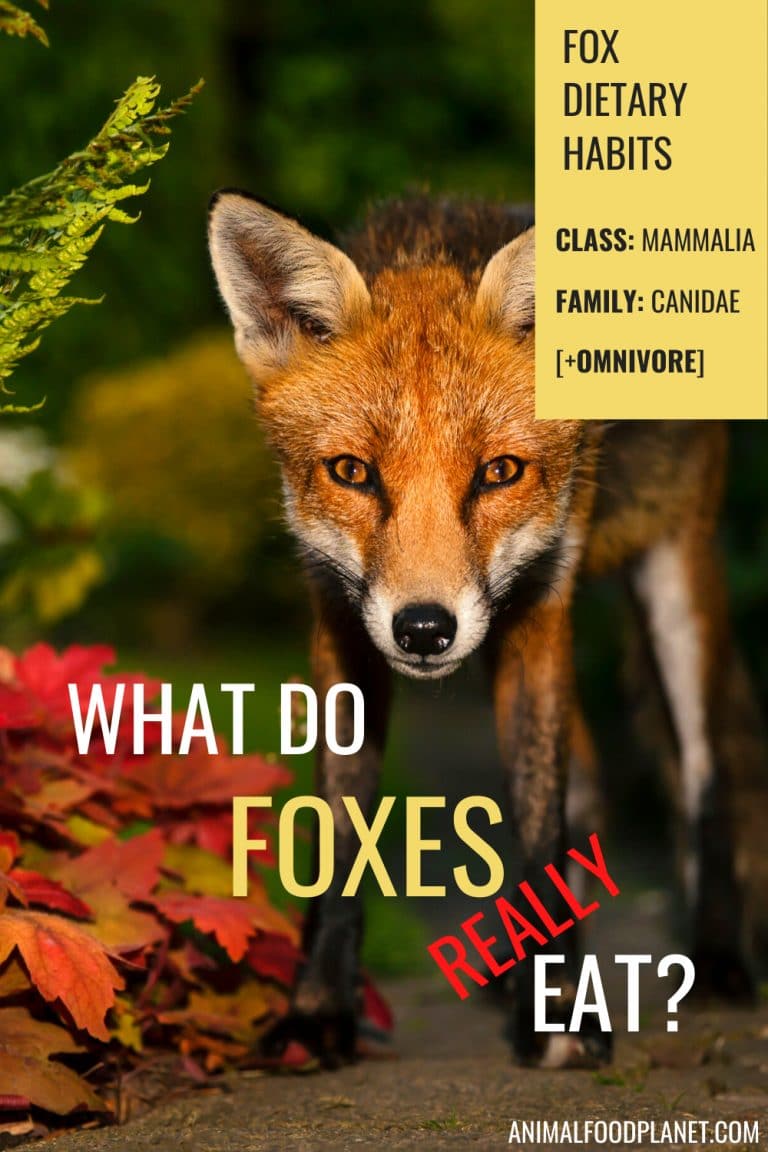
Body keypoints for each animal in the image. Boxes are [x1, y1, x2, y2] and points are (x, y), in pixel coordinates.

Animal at [208, 192, 766, 1069]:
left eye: (500, 472)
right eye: (352, 473)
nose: (423, 630)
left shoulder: (541, 610)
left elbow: (538, 822)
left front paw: (561, 1013)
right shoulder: (342, 622)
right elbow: (342, 831)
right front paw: (319, 1008)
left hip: (676, 576)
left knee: (704, 779)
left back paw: (717, 960)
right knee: (596, 782)